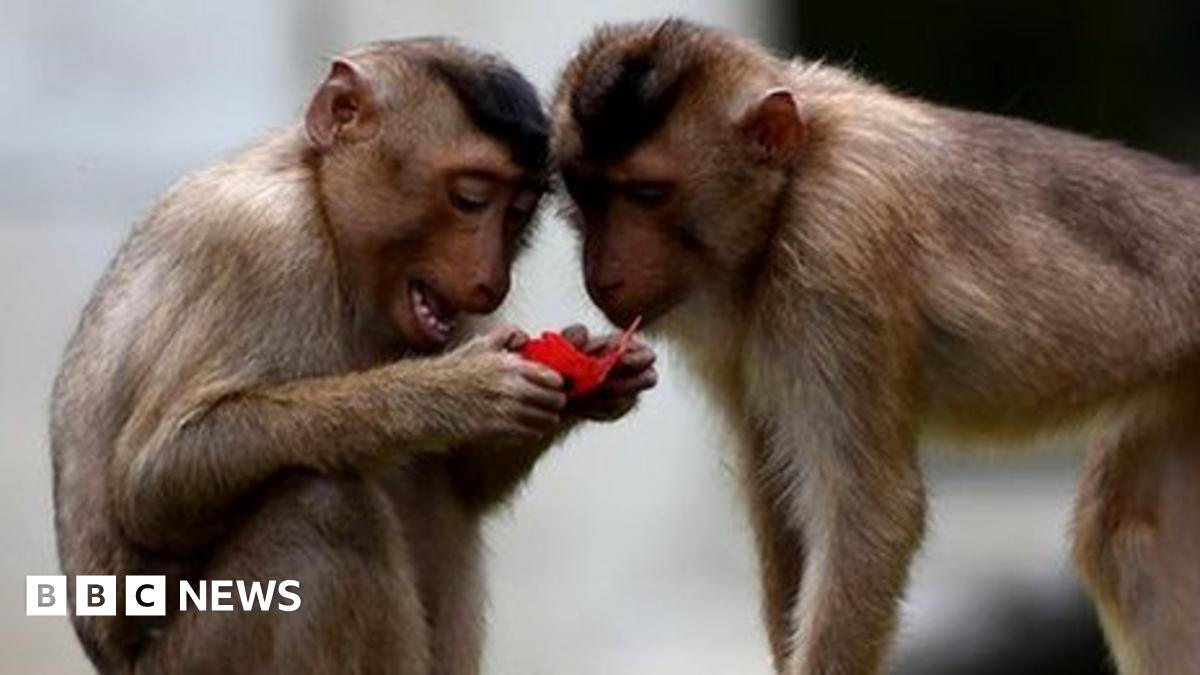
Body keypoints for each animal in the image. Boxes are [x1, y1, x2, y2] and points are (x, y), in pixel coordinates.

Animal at [50, 39, 657, 675]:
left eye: (518, 211)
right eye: (470, 199)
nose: (491, 282)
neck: (325, 210)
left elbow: (469, 477)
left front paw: (594, 369)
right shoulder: (263, 242)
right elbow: (153, 484)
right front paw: (453, 393)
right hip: (198, 660)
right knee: (320, 506)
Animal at [552, 18, 1200, 675]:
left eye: (647, 194)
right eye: (586, 191)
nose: (601, 271)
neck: (789, 189)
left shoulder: (836, 245)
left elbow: (870, 513)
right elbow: (783, 506)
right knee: (1128, 541)